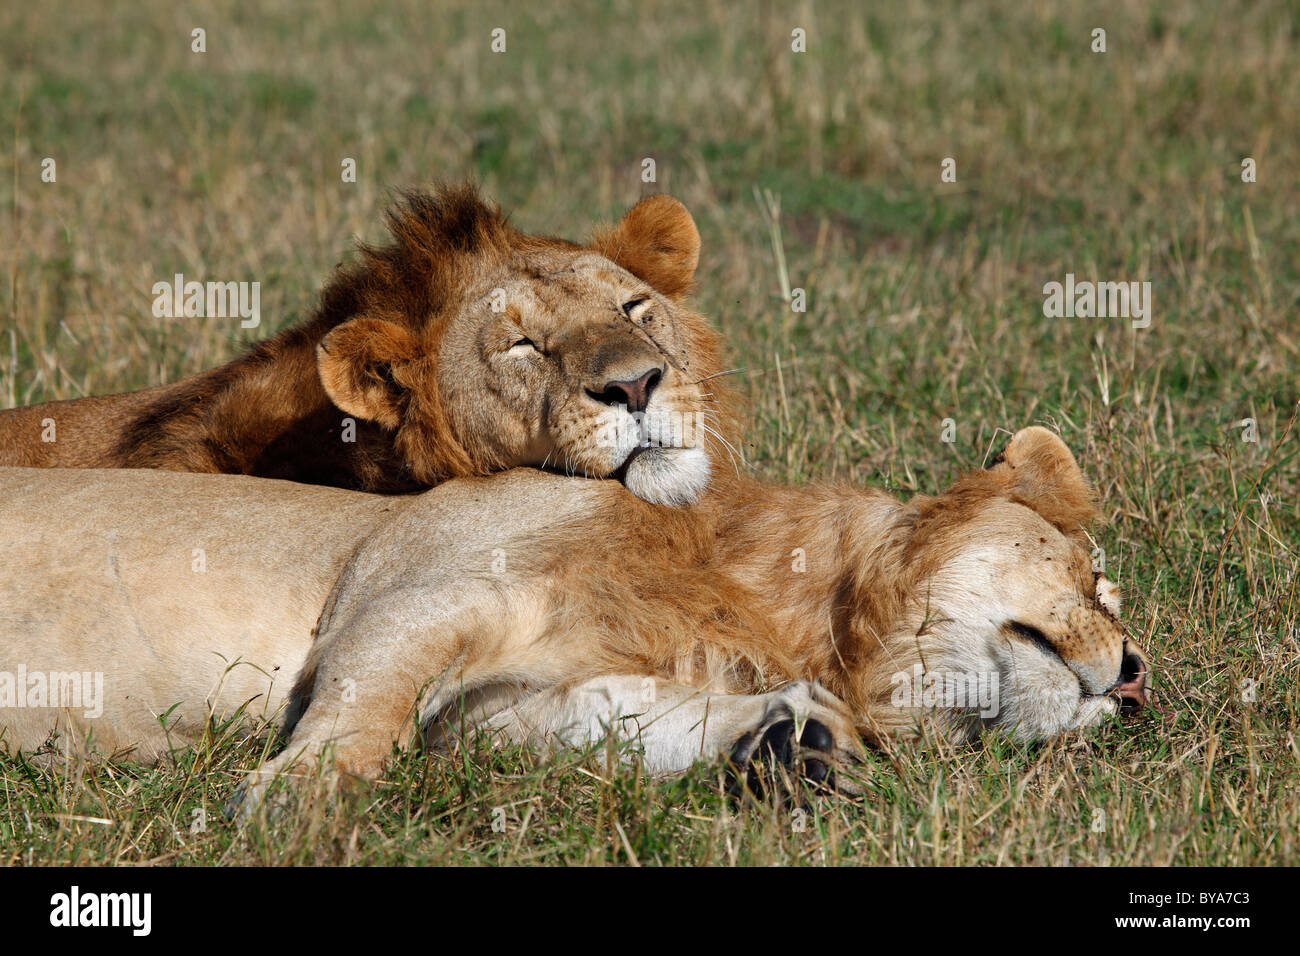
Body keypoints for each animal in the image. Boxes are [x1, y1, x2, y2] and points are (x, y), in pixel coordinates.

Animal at [0, 426, 1148, 807]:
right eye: (1096, 578)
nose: (1136, 677)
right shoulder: (419, 586)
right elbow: (370, 694)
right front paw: (300, 797)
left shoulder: (496, 716)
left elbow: (623, 722)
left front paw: (796, 746)